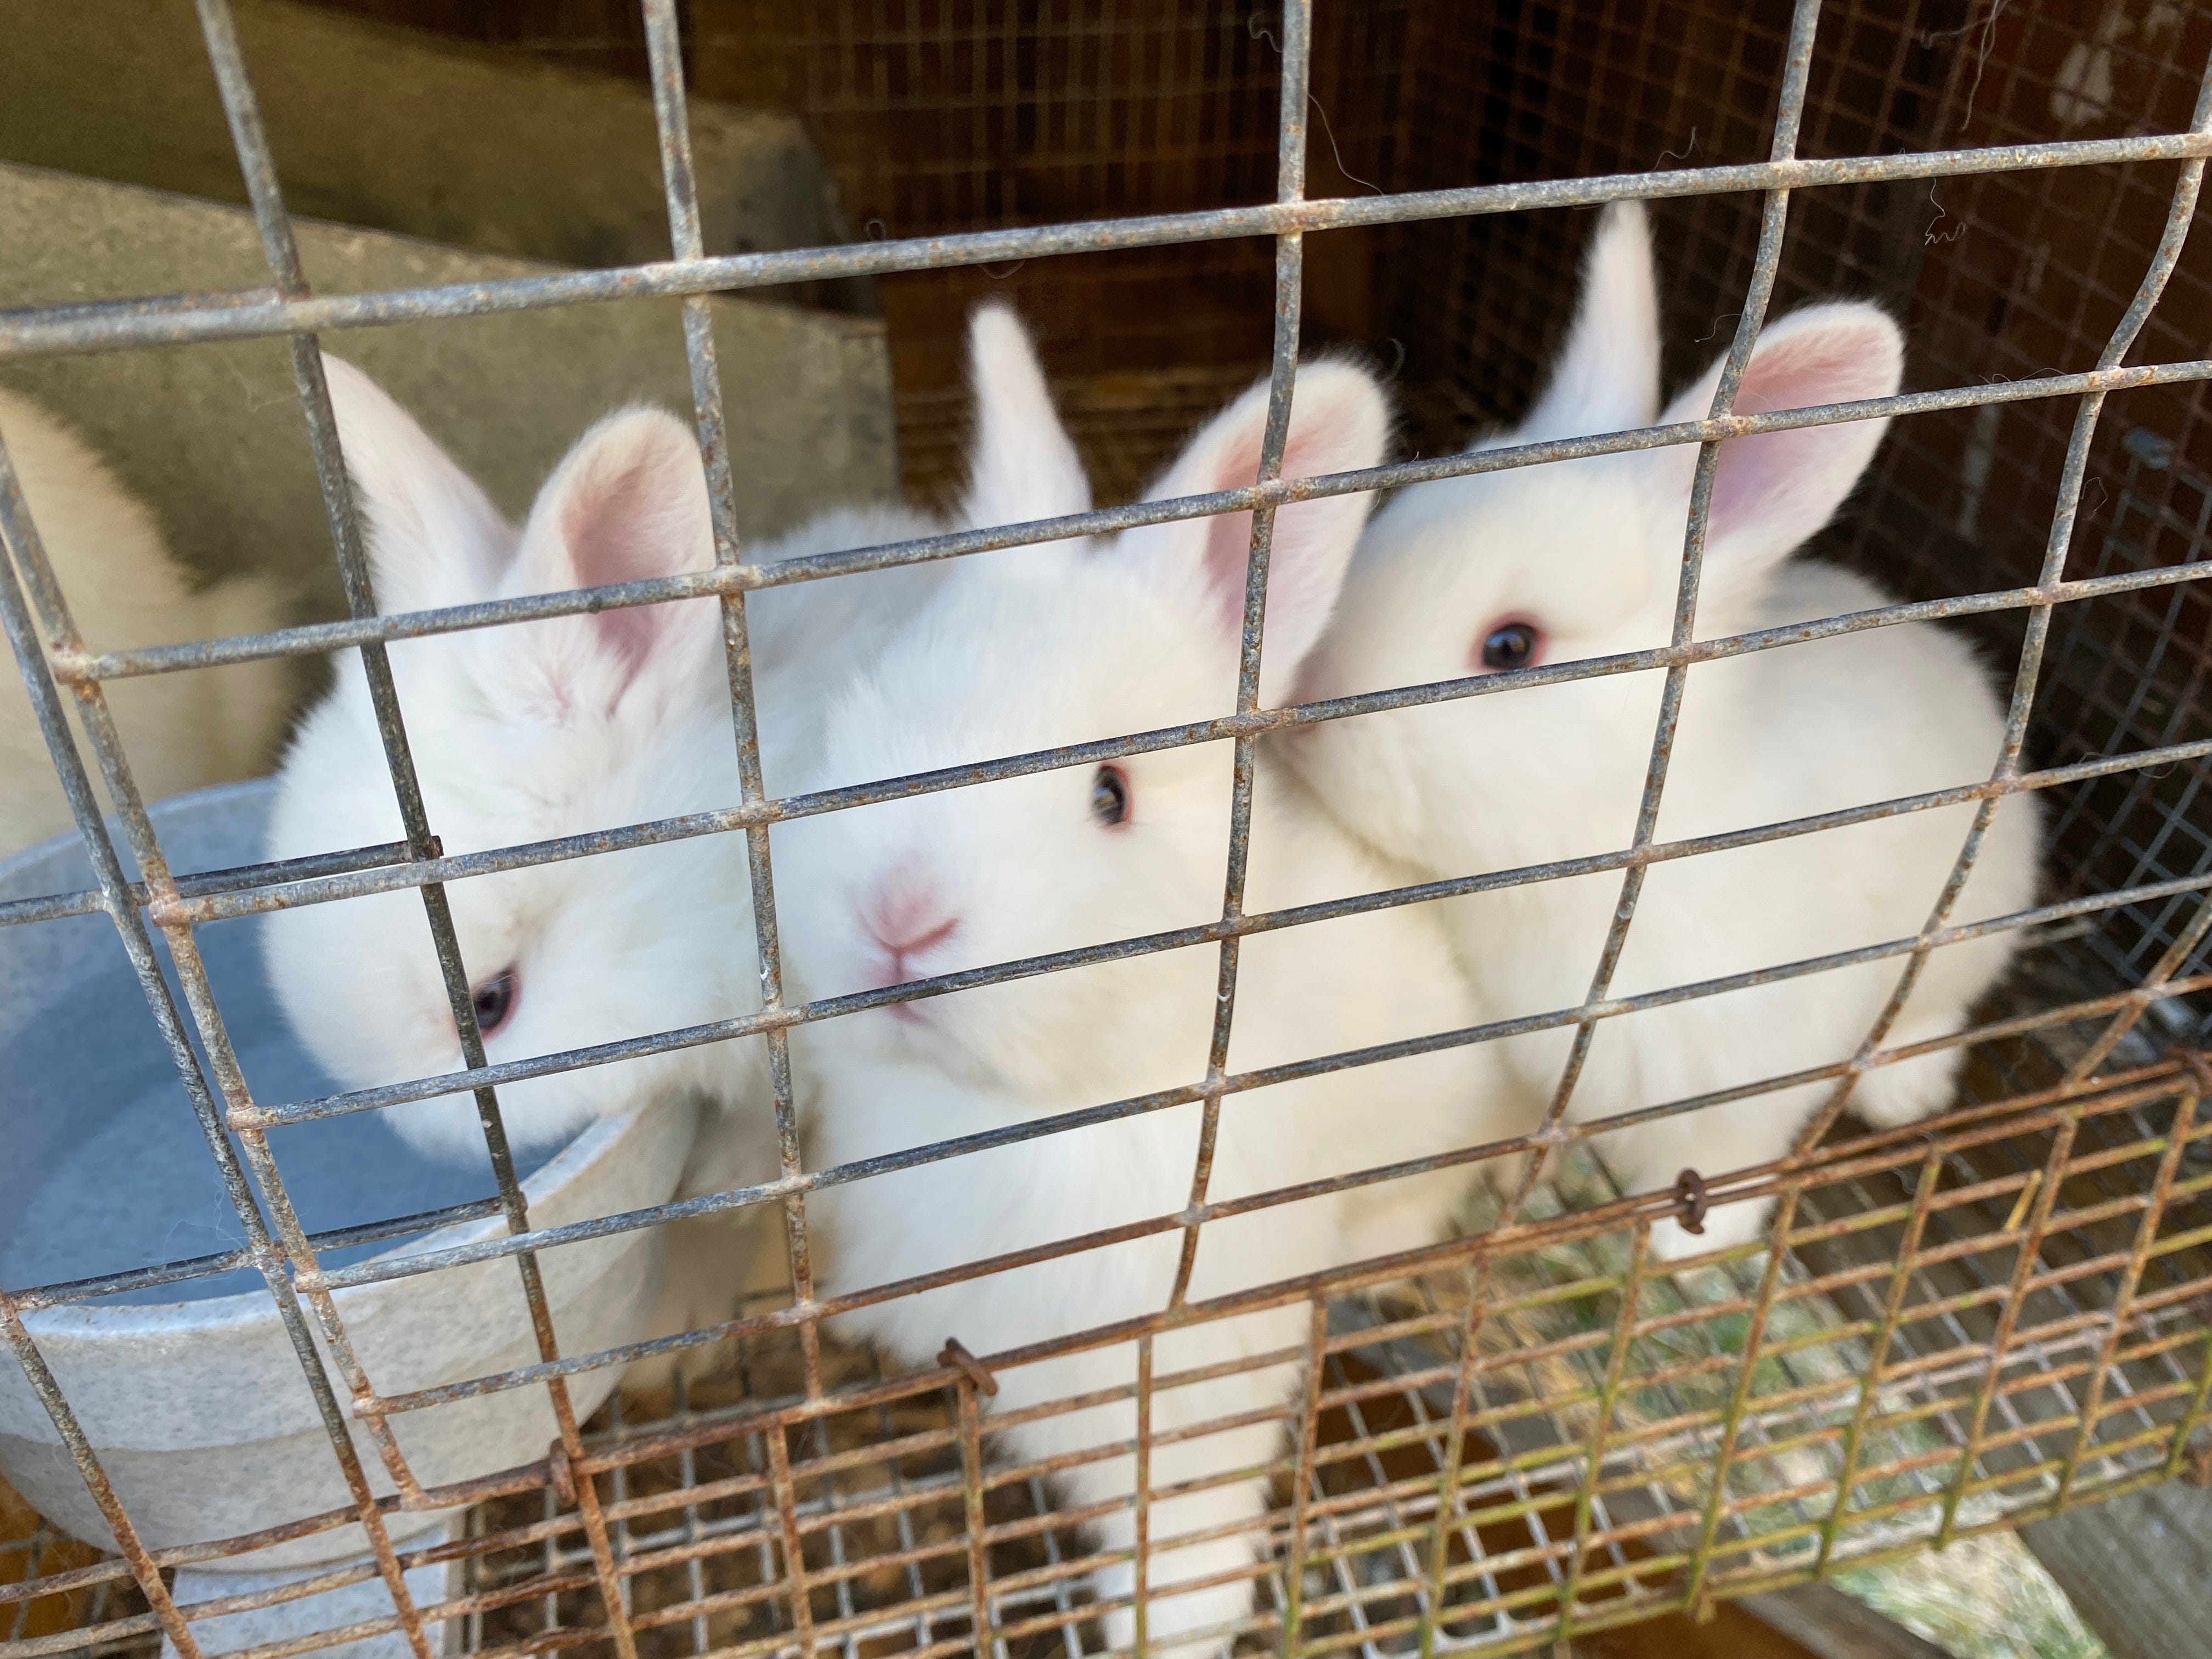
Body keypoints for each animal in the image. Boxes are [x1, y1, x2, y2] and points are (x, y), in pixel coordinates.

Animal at [776, 304, 1515, 1658]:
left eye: (1111, 793)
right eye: (863, 717)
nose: (900, 916)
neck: (1023, 1115)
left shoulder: (1188, 1357)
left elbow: (1186, 1514)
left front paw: (1172, 1627)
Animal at [1285, 200, 2042, 1260]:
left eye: (1511, 645)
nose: (1304, 702)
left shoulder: (1743, 1072)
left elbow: (1718, 1163)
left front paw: (1689, 1247)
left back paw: (1906, 1090)